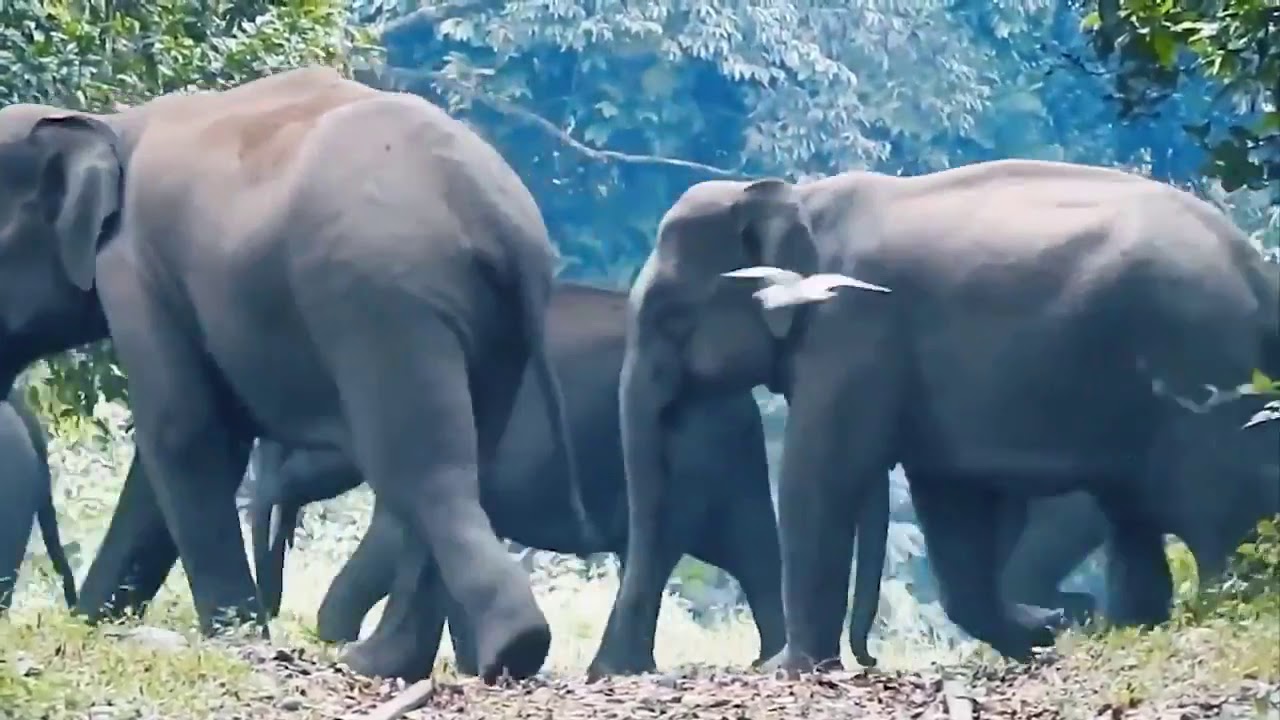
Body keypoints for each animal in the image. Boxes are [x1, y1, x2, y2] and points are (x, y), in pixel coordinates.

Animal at [243, 282, 801, 675]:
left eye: (284, 440)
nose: (270, 620)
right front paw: (477, 662)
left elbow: (393, 534)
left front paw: (338, 640)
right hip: (723, 460)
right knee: (752, 551)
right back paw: (766, 657)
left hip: (688, 453)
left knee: (671, 545)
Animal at [608, 159, 1280, 674]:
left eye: (669, 312)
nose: (637, 667)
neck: (796, 197)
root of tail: (1259, 272)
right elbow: (948, 500)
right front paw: (1041, 633)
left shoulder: (853, 332)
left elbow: (817, 476)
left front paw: (791, 670)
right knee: (1136, 525)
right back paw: (1126, 626)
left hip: (1206, 372)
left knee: (1221, 519)